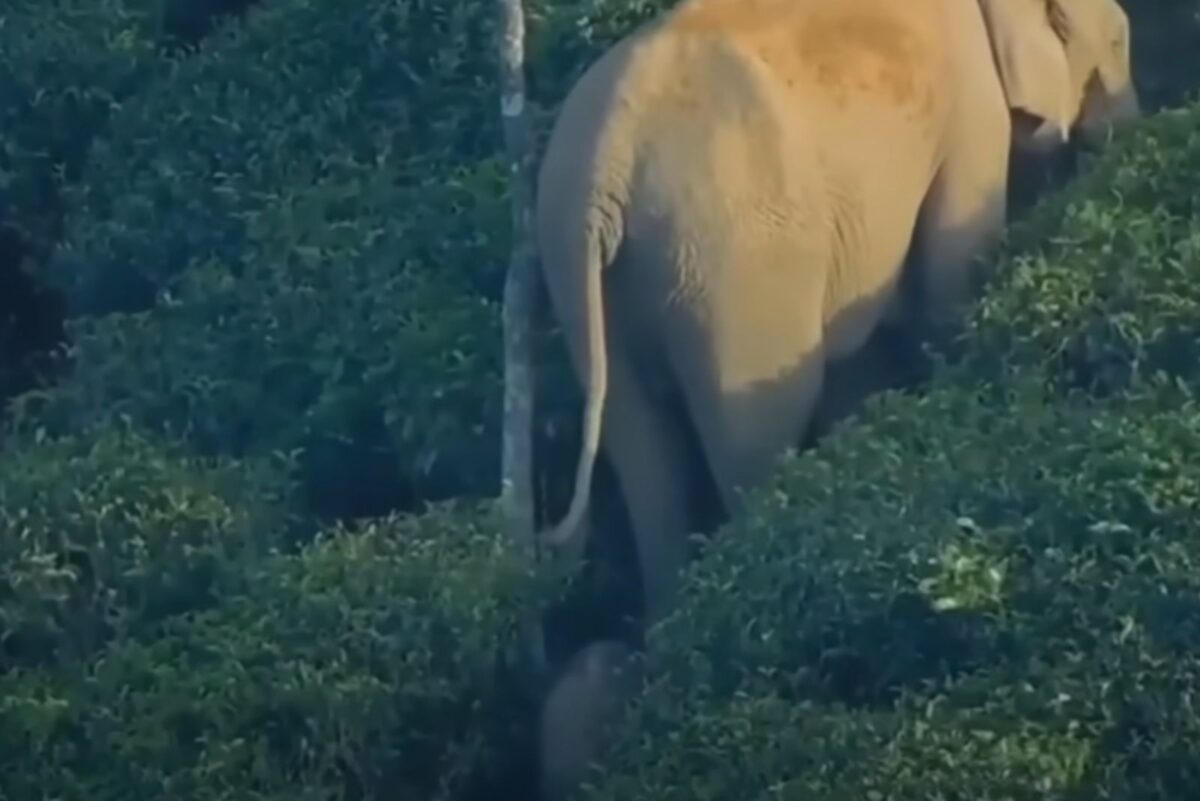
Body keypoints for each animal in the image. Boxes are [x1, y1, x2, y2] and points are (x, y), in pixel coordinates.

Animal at [535, 0, 1140, 623]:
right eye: (1120, 42)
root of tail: (603, 173)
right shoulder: (973, 115)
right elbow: (953, 268)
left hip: (586, 278)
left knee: (642, 451)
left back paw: (668, 621)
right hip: (733, 266)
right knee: (757, 429)